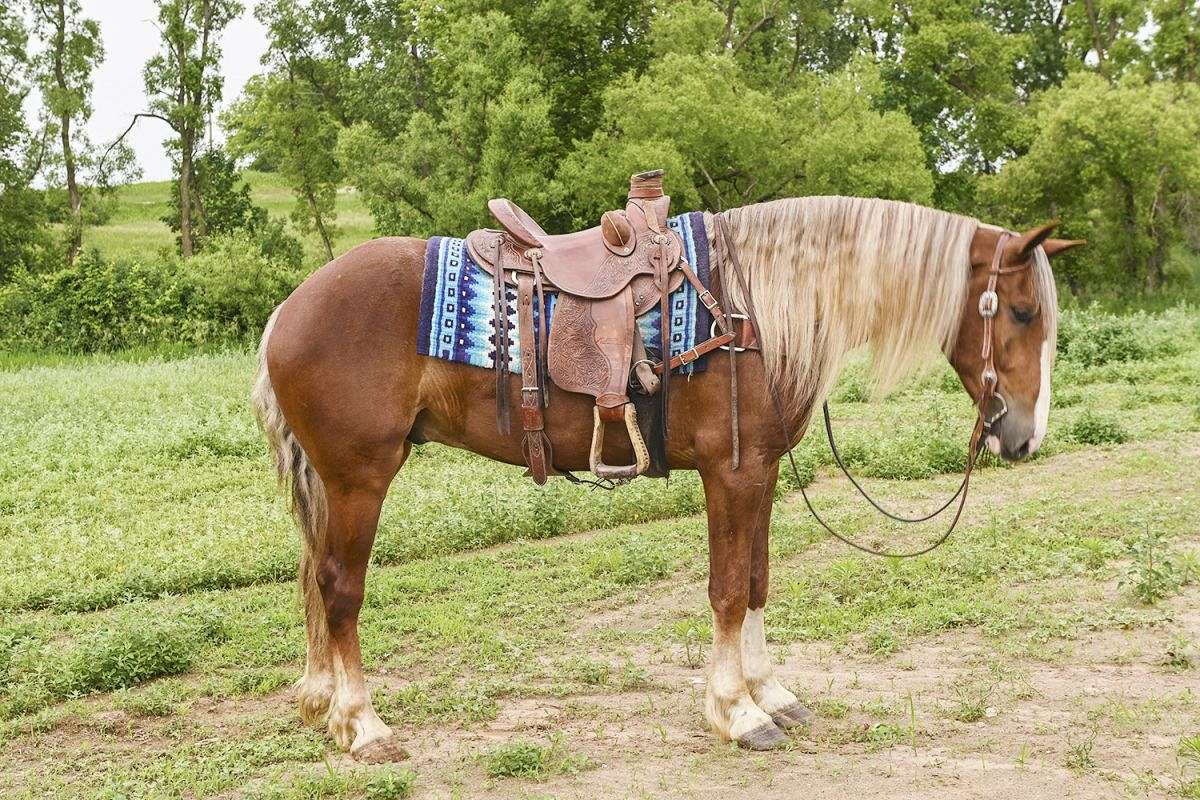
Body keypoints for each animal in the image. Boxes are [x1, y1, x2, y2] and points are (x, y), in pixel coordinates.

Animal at [251, 195, 1083, 759]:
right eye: (1019, 311)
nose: (1025, 436)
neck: (753, 309)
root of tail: (289, 308)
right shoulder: (732, 473)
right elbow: (727, 589)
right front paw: (737, 712)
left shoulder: (761, 475)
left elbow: (758, 583)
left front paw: (772, 694)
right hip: (360, 479)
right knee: (340, 590)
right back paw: (361, 724)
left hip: (333, 486)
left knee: (315, 580)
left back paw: (320, 703)